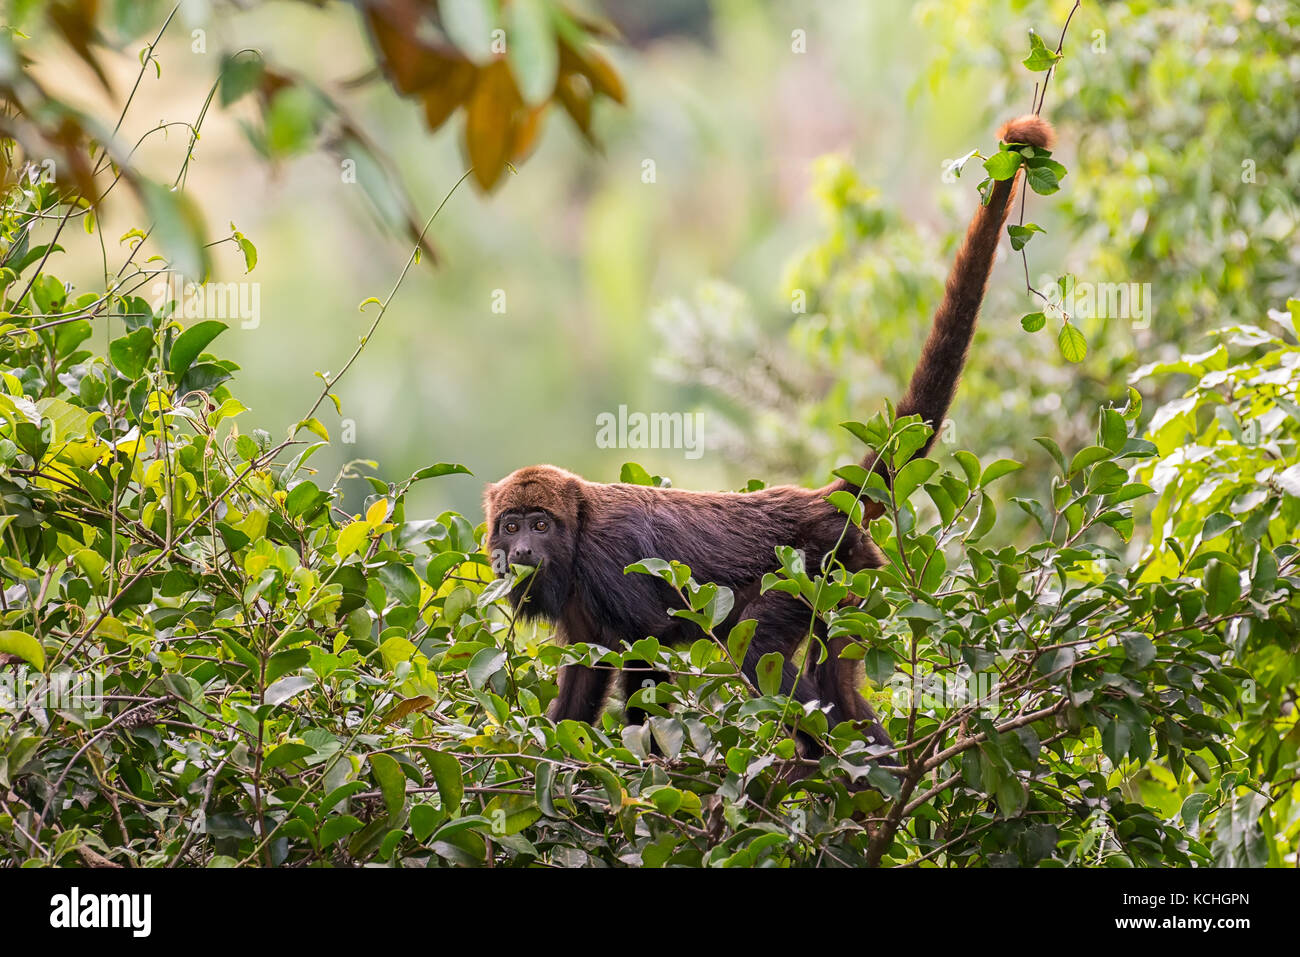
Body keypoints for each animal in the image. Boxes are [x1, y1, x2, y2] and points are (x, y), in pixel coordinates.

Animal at [484, 115, 1056, 764]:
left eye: (540, 524)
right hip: (852, 577)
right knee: (841, 687)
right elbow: (585, 676)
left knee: (759, 649)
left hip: (813, 564)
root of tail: (822, 499)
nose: (520, 551)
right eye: (511, 525)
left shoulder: (611, 564)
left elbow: (645, 657)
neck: (575, 541)